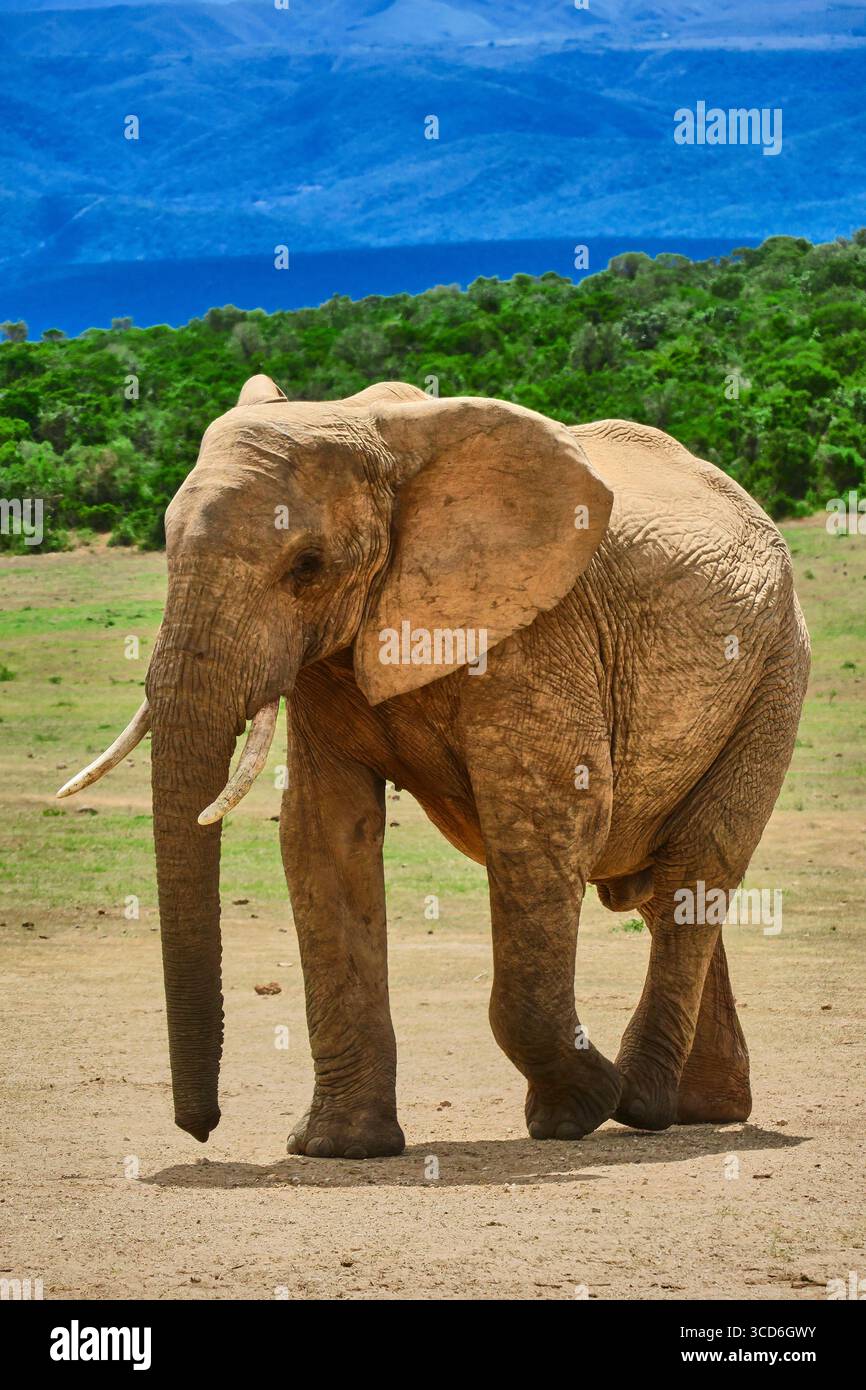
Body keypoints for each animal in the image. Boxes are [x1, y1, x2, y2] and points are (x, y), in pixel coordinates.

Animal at [58, 375, 810, 1158]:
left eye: (307, 567)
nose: (201, 1128)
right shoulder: (328, 656)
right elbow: (323, 835)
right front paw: (340, 1148)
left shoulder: (538, 629)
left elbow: (546, 818)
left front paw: (578, 1108)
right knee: (665, 891)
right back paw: (703, 1108)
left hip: (775, 675)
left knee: (697, 866)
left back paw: (639, 1104)